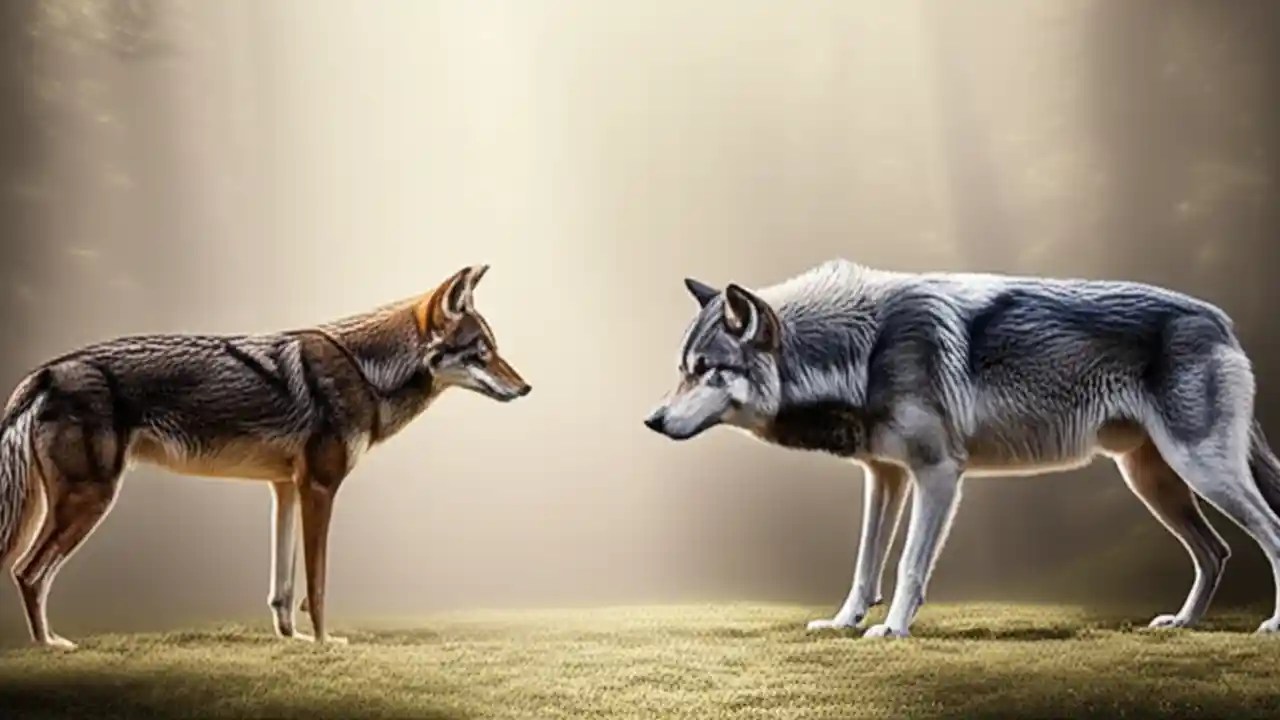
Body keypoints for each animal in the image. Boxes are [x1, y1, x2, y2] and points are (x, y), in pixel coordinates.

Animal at [0, 264, 530, 648]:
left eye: (493, 347)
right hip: (90, 501)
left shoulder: (285, 489)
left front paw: (291, 640)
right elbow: (317, 584)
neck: (364, 371)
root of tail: (46, 372)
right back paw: (49, 646)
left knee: (27, 572)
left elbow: (284, 588)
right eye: (480, 351)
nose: (526, 388)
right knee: (27, 572)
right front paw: (324, 643)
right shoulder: (320, 488)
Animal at [644, 259, 1280, 638]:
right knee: (1216, 551)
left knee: (1268, 534)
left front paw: (892, 630)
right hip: (1153, 482)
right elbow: (864, 563)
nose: (651, 420)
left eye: (705, 370)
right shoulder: (884, 477)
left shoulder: (938, 474)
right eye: (681, 370)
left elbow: (907, 564)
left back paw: (1270, 627)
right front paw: (845, 622)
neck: (863, 351)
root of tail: (1221, 320)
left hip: (1201, 470)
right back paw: (1182, 622)